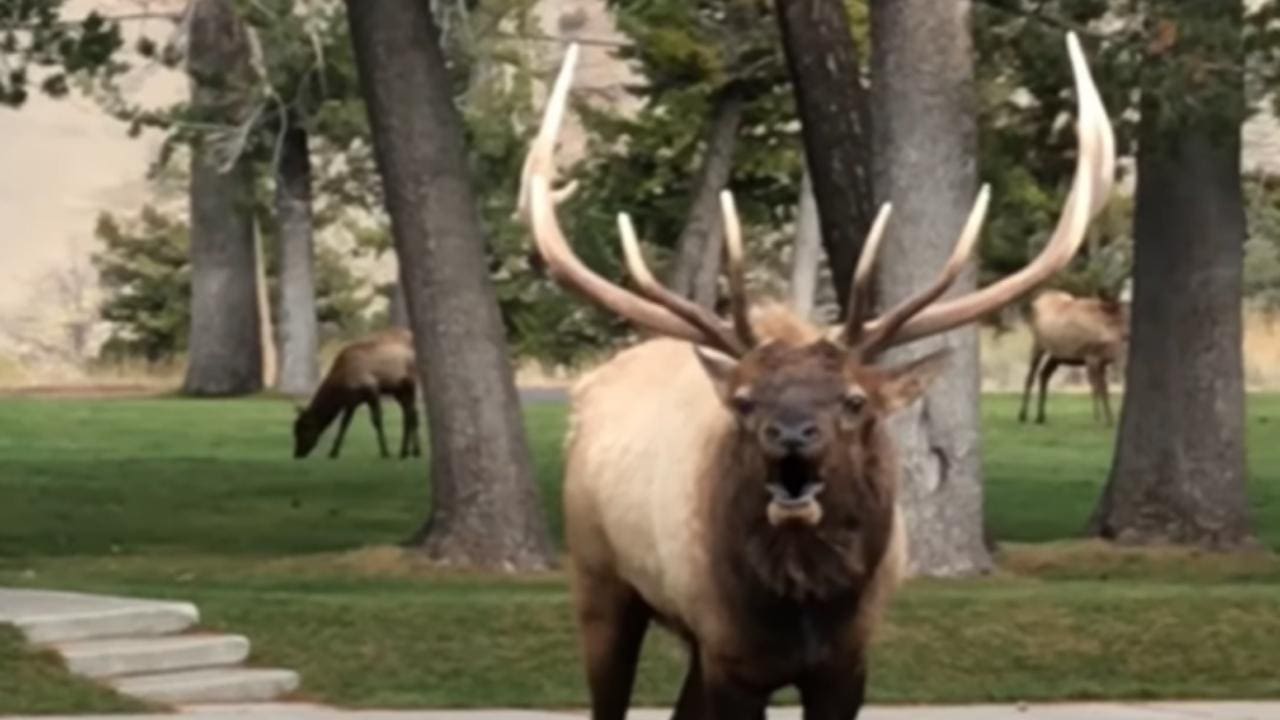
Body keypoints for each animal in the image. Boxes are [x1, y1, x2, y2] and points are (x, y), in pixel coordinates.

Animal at [292, 327, 423, 460]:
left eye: (304, 429)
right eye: (295, 430)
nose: (297, 453)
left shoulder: (372, 389)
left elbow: (377, 421)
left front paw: (385, 452)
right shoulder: (351, 401)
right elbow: (344, 424)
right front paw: (333, 452)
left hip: (410, 384)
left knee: (411, 414)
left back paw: (411, 451)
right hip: (398, 390)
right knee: (410, 413)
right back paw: (408, 451)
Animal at [518, 32, 1113, 720]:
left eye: (855, 400)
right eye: (744, 402)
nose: (792, 435)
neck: (802, 610)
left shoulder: (846, 661)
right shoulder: (730, 656)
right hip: (599, 576)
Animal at [1018, 288, 1130, 426]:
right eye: (1123, 317)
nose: (1128, 334)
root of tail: (1035, 302)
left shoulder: (1103, 362)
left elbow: (1105, 389)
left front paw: (1110, 419)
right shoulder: (1091, 357)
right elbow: (1096, 388)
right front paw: (1098, 418)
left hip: (1057, 355)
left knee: (1044, 374)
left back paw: (1040, 416)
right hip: (1038, 344)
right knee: (1030, 376)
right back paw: (1022, 415)